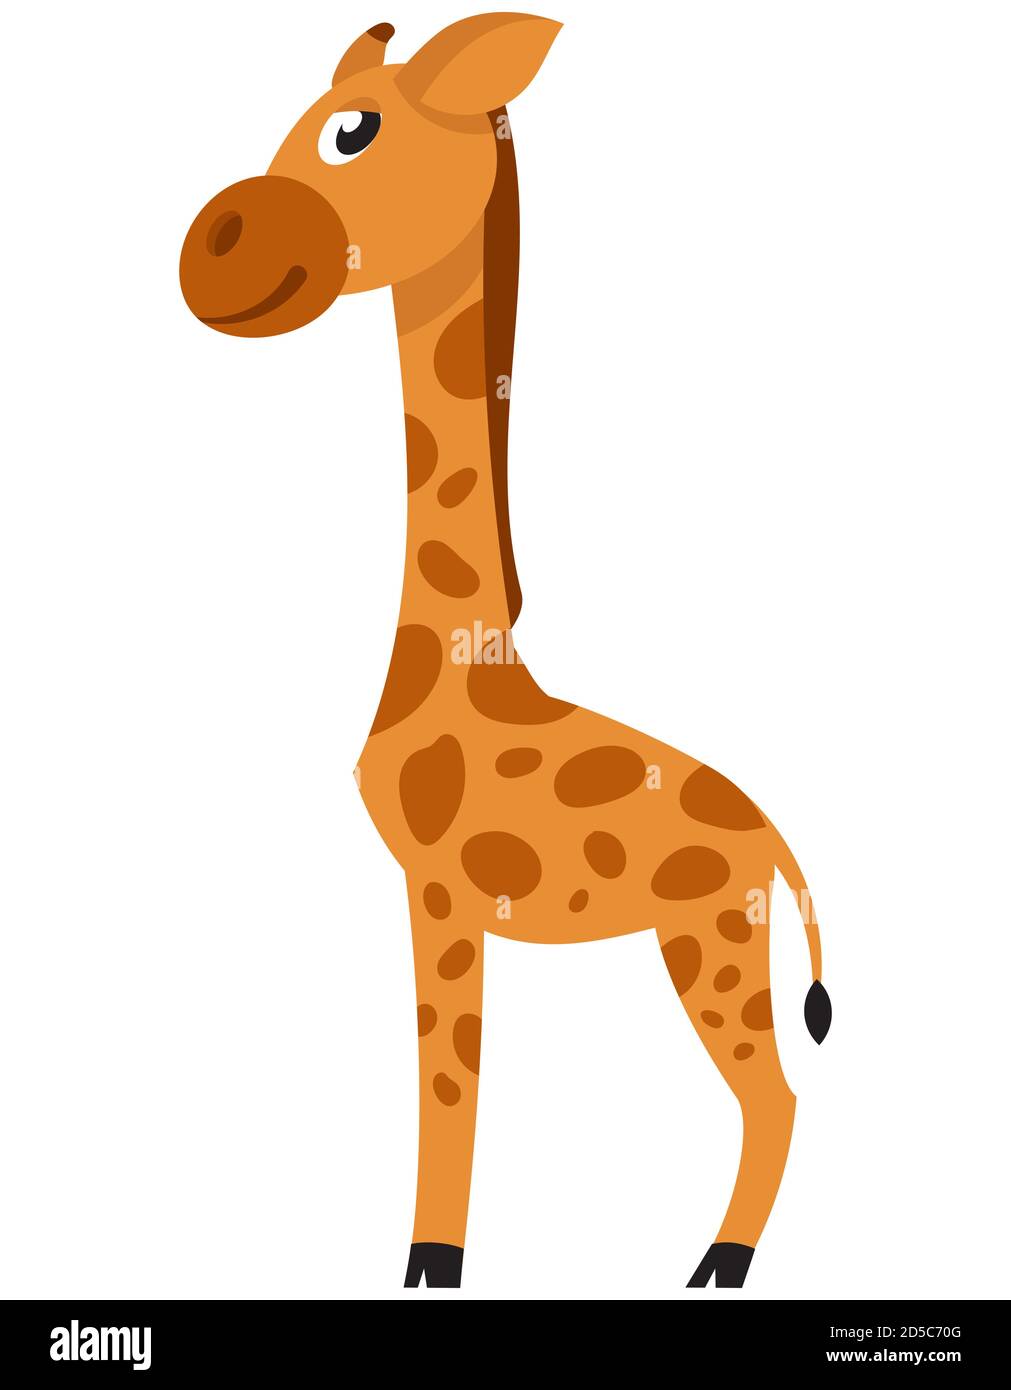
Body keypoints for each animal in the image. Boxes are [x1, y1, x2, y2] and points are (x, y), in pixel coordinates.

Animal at [179, 12, 832, 1292]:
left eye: (353, 127)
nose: (214, 246)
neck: (464, 662)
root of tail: (777, 842)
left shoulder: (440, 894)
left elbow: (449, 1082)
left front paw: (431, 1262)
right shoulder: (438, 897)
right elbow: (454, 1084)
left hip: (714, 938)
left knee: (773, 1094)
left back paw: (718, 1263)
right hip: (699, 938)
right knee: (765, 1096)